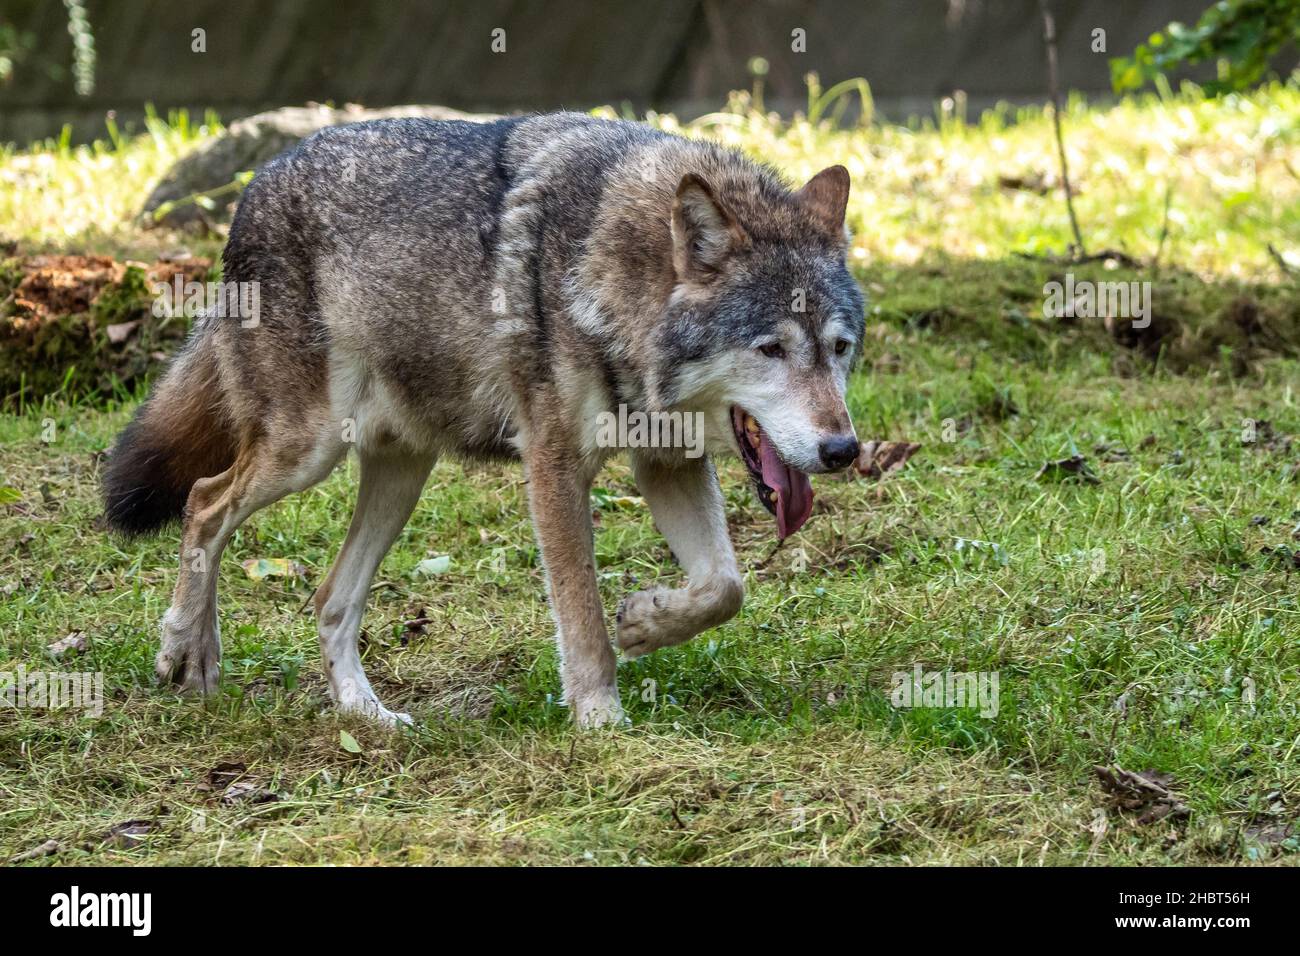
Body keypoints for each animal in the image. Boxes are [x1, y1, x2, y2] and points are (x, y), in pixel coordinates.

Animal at [102, 112, 865, 727]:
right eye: (770, 350)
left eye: (838, 348)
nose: (843, 449)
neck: (615, 275)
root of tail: (254, 187)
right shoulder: (553, 464)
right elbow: (582, 618)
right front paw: (601, 722)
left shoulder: (665, 461)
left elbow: (723, 588)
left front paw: (645, 624)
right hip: (307, 451)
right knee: (204, 502)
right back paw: (187, 652)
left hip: (400, 473)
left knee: (328, 598)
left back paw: (366, 715)